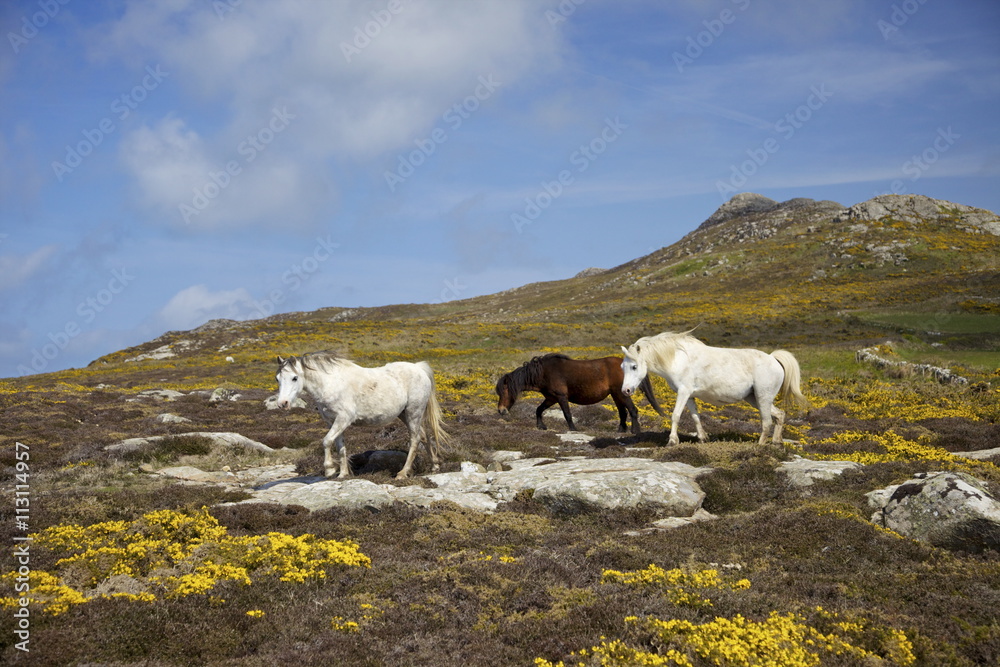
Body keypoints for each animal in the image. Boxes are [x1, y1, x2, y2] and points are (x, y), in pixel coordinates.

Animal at [275, 353, 450, 479]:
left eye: (294, 378)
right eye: (278, 379)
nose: (282, 403)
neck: (330, 383)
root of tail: (419, 368)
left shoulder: (343, 419)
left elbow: (326, 441)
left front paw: (330, 470)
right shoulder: (333, 422)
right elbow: (340, 447)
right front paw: (343, 474)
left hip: (414, 412)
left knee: (415, 439)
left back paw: (402, 473)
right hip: (405, 415)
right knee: (424, 436)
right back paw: (434, 466)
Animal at [496, 353, 665, 434]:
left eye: (504, 391)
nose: (501, 411)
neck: (544, 372)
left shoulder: (561, 397)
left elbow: (567, 414)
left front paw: (573, 429)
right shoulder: (551, 398)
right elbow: (538, 409)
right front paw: (541, 426)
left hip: (621, 393)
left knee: (632, 410)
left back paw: (635, 431)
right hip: (616, 395)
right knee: (622, 412)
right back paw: (621, 430)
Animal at [620, 331, 808, 446]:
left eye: (634, 367)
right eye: (622, 366)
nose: (626, 391)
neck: (678, 359)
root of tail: (773, 358)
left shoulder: (683, 392)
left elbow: (676, 416)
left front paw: (672, 441)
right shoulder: (689, 395)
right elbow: (695, 417)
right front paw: (703, 438)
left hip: (763, 397)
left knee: (767, 421)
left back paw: (760, 445)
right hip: (754, 398)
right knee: (779, 415)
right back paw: (776, 442)